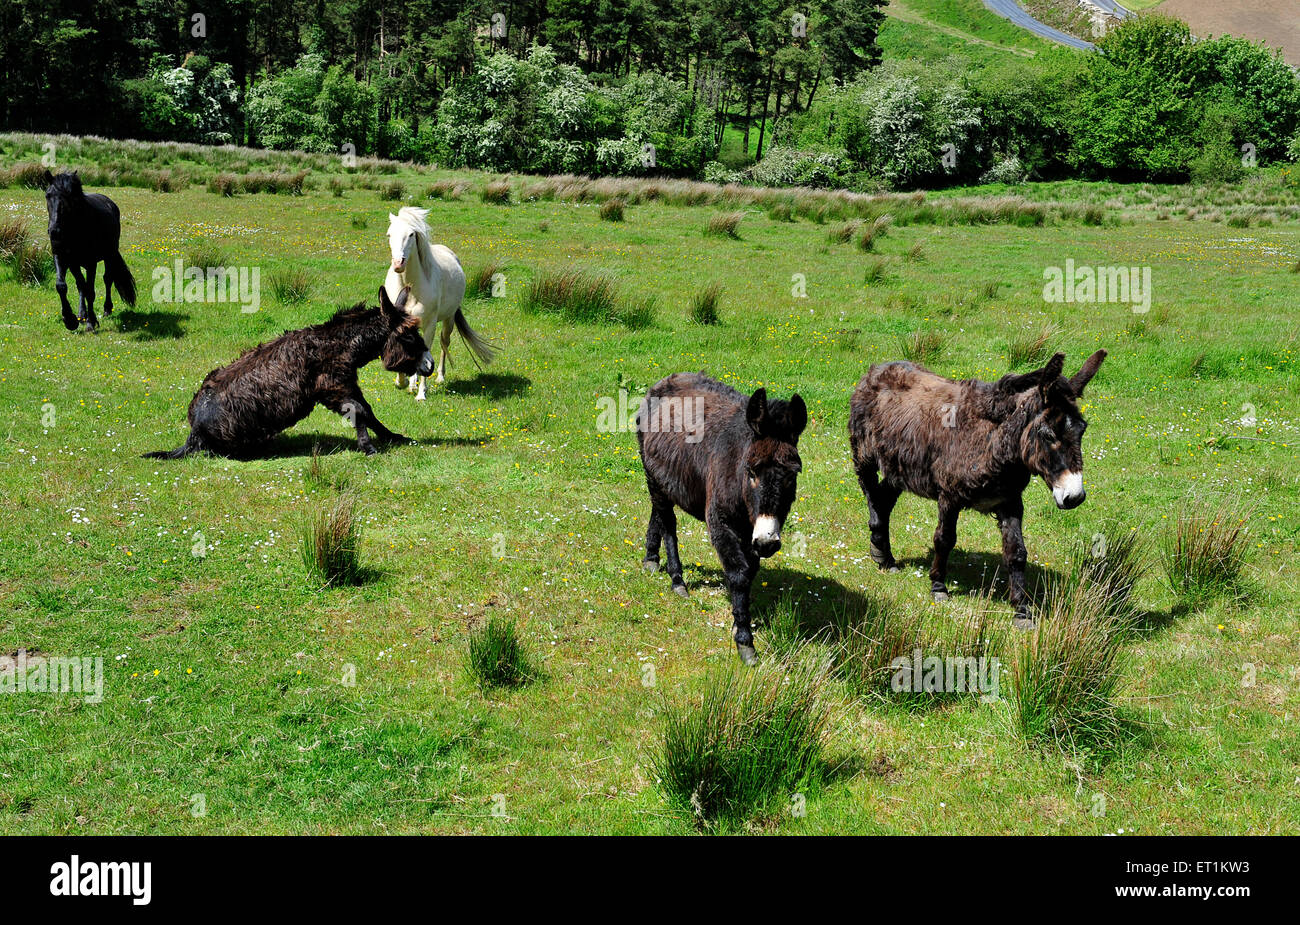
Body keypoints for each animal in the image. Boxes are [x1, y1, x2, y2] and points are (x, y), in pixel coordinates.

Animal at [43, 170, 136, 332]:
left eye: (69, 197)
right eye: (48, 195)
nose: (54, 231)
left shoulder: (91, 263)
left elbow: (90, 291)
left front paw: (91, 323)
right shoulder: (63, 259)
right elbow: (62, 286)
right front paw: (70, 320)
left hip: (110, 255)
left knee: (107, 279)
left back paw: (106, 309)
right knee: (81, 285)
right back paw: (82, 314)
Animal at [144, 286, 434, 459]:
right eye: (409, 336)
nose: (429, 366)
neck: (340, 345)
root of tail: (195, 430)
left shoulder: (346, 384)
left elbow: (369, 412)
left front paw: (393, 437)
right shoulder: (335, 387)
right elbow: (361, 412)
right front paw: (369, 447)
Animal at [384, 207, 495, 400]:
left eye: (411, 234)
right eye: (390, 234)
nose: (398, 264)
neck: (411, 289)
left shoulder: (430, 325)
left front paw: (421, 393)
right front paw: (402, 382)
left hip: (448, 321)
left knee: (444, 344)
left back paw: (440, 378)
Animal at [637, 373, 807, 665]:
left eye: (792, 475)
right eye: (751, 471)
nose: (767, 542)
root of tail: (668, 379)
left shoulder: (750, 532)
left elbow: (750, 572)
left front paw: (740, 620)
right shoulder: (721, 524)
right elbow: (738, 574)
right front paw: (745, 642)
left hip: (664, 479)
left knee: (657, 512)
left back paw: (651, 558)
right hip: (651, 474)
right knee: (668, 523)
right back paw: (677, 579)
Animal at [848, 350, 1106, 627]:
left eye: (1082, 430)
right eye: (1048, 435)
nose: (1074, 497)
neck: (995, 443)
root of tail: (880, 367)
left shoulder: (1010, 501)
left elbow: (1017, 552)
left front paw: (1022, 609)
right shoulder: (949, 497)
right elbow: (944, 540)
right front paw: (938, 587)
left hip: (899, 467)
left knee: (884, 498)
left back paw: (883, 554)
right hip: (864, 455)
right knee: (871, 494)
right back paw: (881, 551)